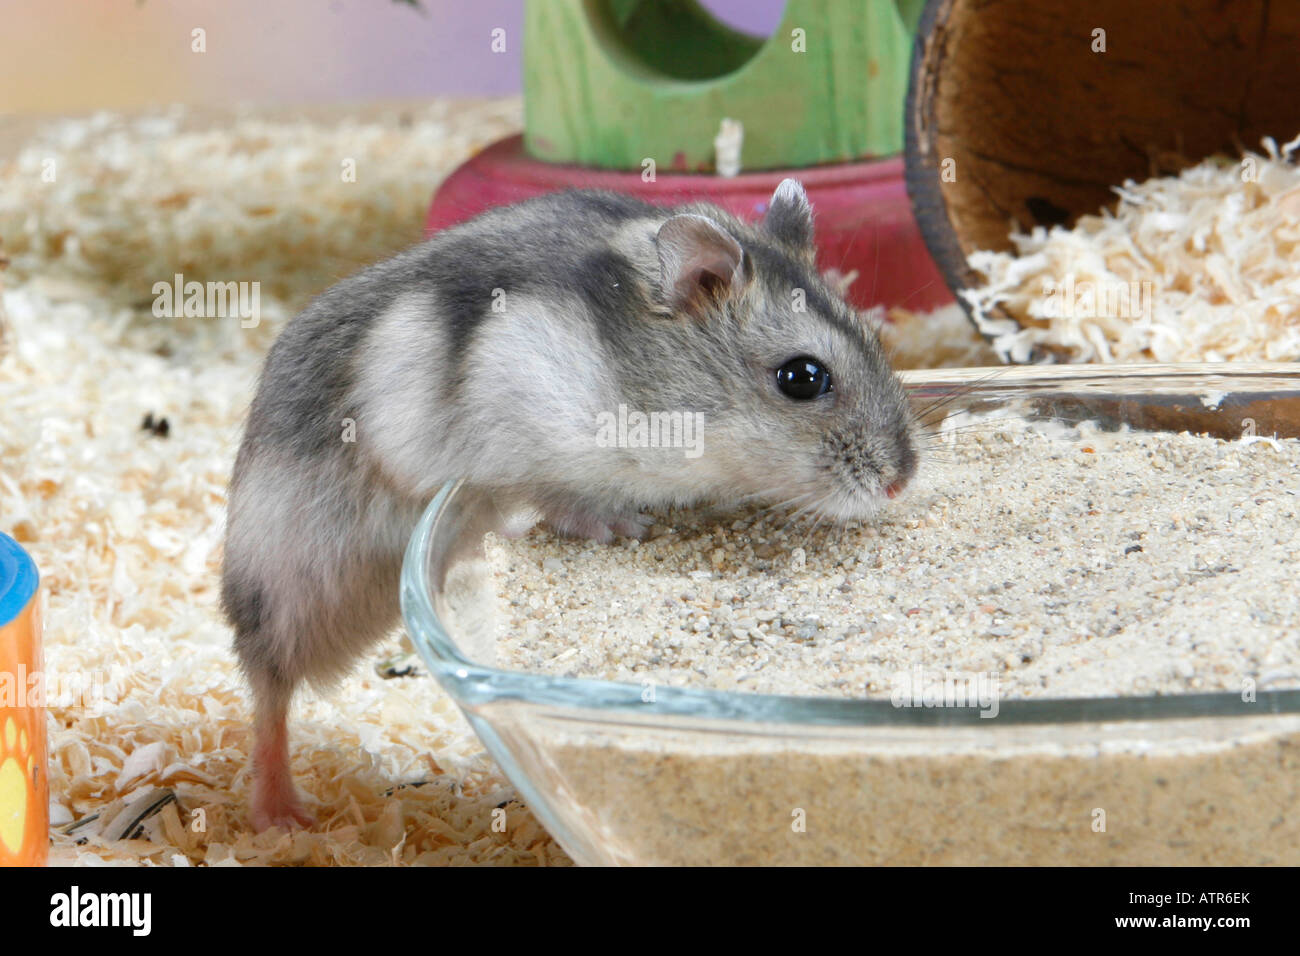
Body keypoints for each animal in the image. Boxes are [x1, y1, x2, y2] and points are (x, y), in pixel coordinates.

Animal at [220, 179, 918, 831]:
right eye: (802, 377)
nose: (901, 481)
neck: (648, 378)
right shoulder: (523, 436)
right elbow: (554, 496)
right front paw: (625, 524)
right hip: (292, 586)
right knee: (269, 692)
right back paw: (281, 816)